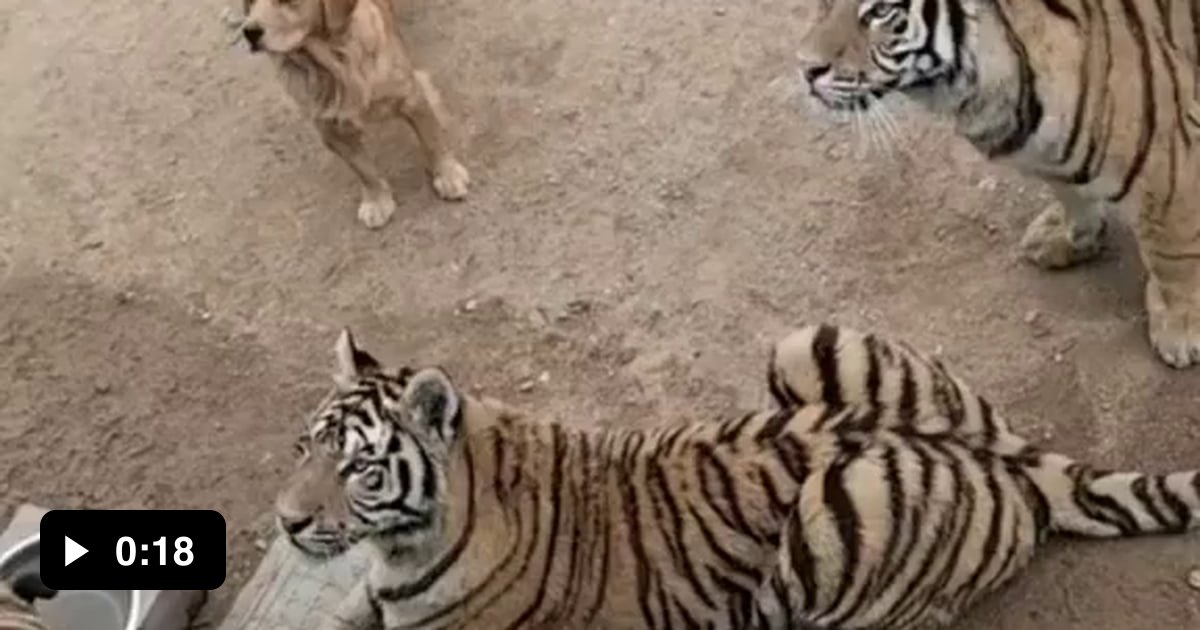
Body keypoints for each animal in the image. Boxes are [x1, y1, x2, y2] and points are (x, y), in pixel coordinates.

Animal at [274, 326, 1200, 629]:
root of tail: (1010, 456)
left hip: (839, 513)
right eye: (304, 447)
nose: (285, 522)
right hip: (803, 345)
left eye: (360, 467)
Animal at [793, 0, 1200, 368]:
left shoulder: (1168, 161)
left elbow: (1171, 254)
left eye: (880, 11)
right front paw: (1067, 236)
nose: (806, 68)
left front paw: (1179, 327)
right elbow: (1067, 189)